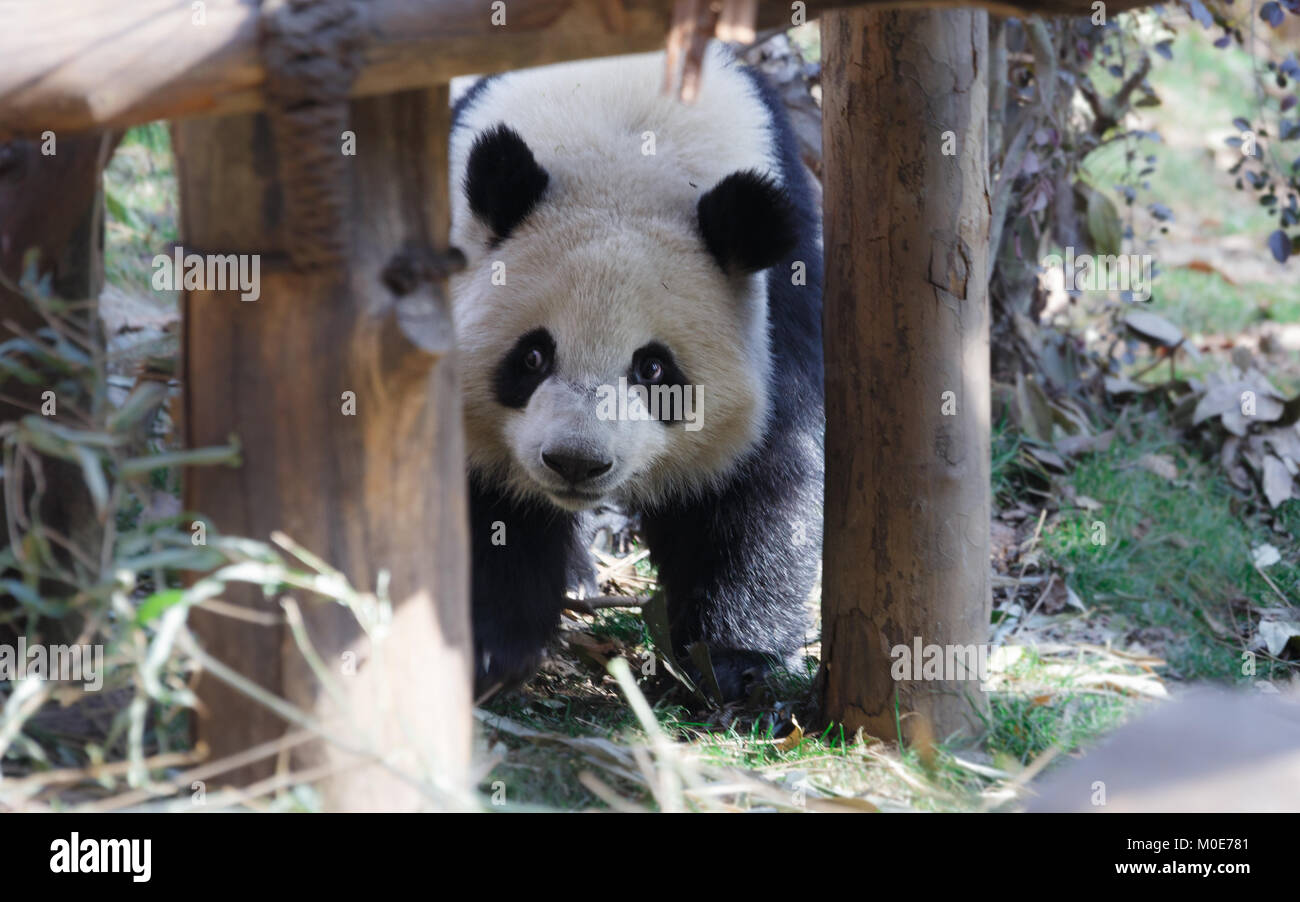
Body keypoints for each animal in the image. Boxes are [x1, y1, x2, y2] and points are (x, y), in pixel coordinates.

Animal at [448, 43, 824, 701]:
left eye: (653, 368)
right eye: (532, 357)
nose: (575, 463)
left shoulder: (776, 306)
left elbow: (761, 477)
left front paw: (735, 661)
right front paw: (494, 649)